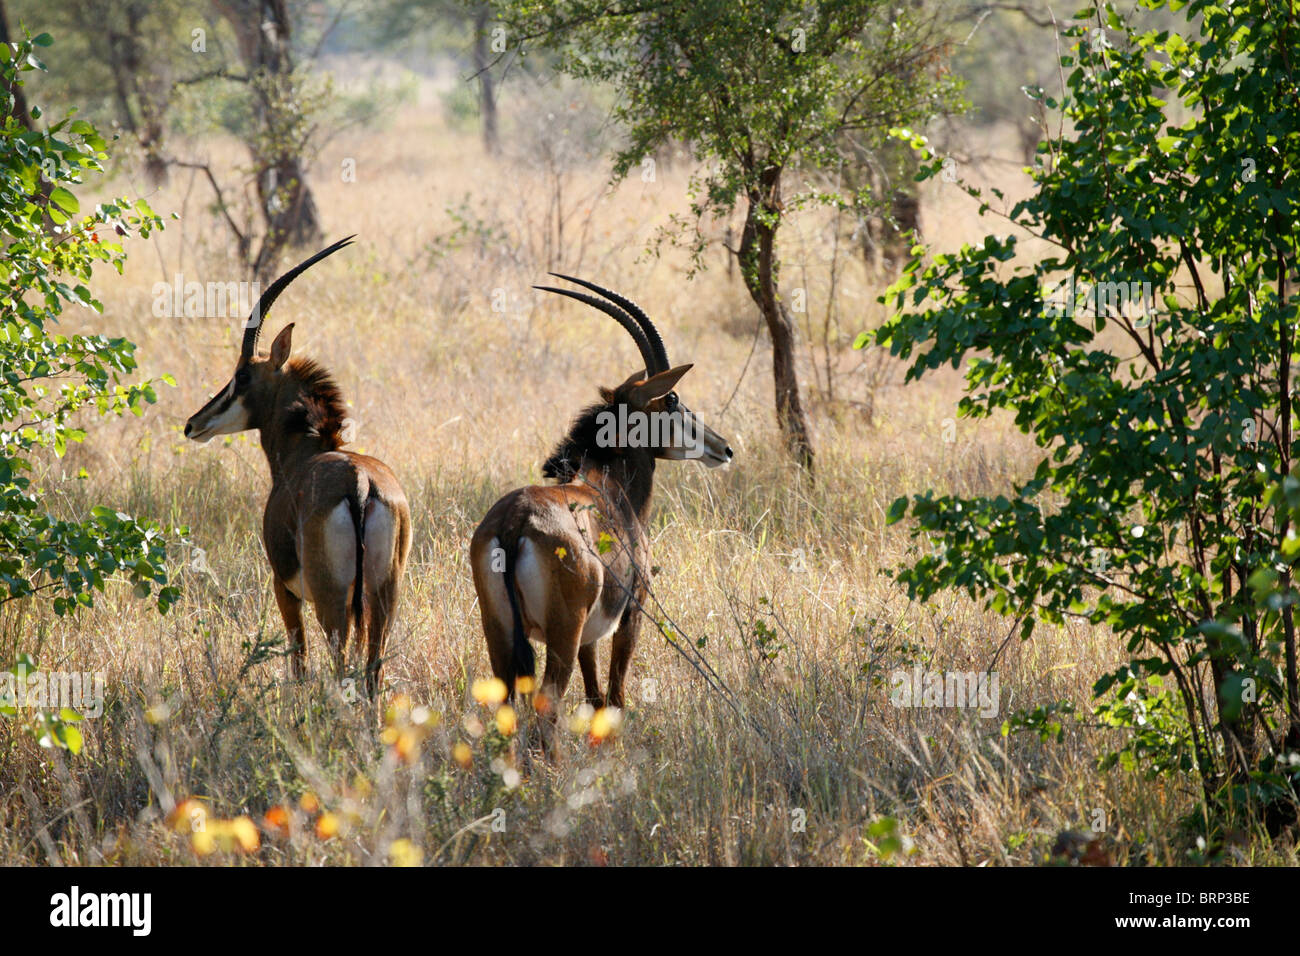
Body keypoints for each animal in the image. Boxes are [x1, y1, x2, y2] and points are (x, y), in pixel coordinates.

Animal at [184, 237, 411, 699]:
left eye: (242, 375)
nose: (193, 424)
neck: (303, 453)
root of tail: (360, 483)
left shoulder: (284, 588)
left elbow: (299, 661)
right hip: (384, 596)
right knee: (373, 668)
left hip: (331, 599)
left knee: (340, 662)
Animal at [470, 276, 732, 737]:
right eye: (672, 400)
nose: (723, 448)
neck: (608, 487)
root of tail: (514, 523)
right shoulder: (633, 611)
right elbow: (615, 698)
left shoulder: (589, 638)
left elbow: (594, 698)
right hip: (563, 632)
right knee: (547, 704)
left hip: (499, 631)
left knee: (507, 703)